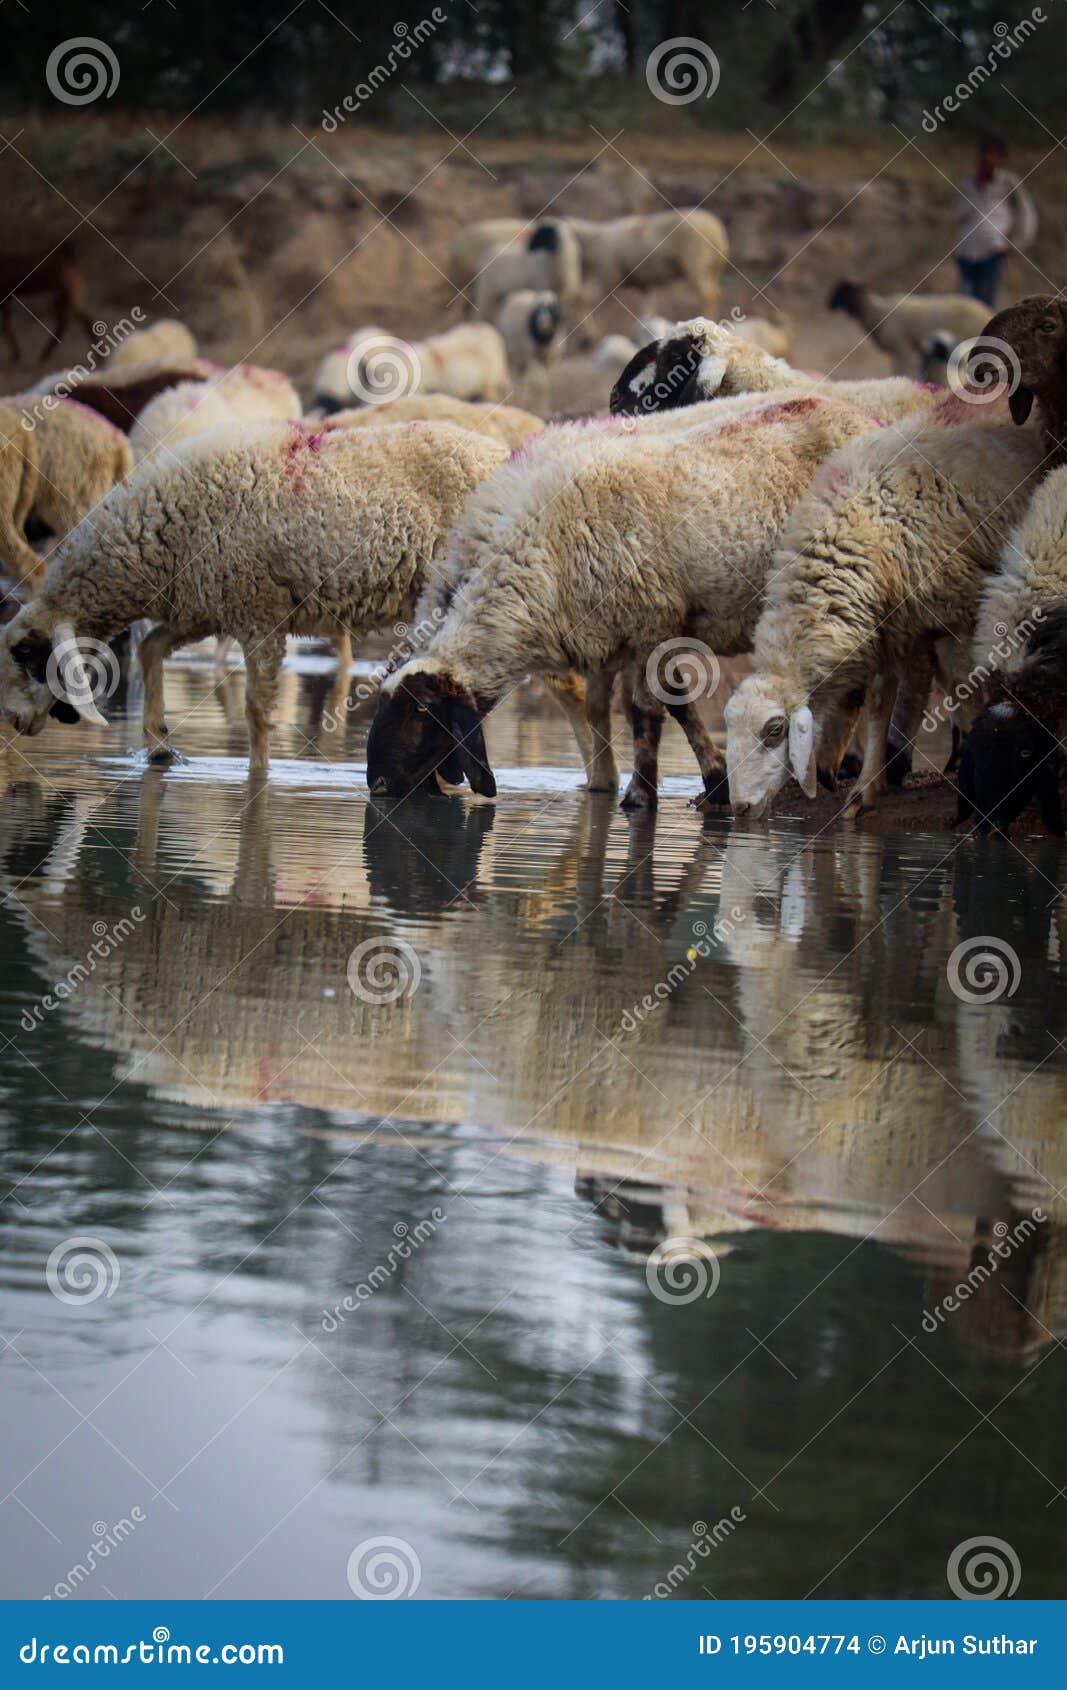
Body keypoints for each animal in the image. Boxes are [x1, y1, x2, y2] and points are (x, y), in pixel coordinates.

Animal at [0, 419, 509, 775]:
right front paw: (160, 745)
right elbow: (150, 648)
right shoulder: (203, 607)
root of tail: (501, 450)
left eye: (24, 652)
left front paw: (258, 775)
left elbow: (255, 710)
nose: (13, 721)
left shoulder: (257, 611)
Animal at [365, 392, 882, 807]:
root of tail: (861, 415)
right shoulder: (601, 633)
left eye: (422, 712)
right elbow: (603, 708)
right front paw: (611, 783)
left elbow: (653, 709)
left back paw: (837, 767)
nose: (378, 786)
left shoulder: (652, 621)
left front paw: (652, 791)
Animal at [568, 211, 728, 314]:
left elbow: (582, 300)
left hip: (697, 265)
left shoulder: (608, 280)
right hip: (713, 269)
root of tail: (715, 229)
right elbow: (647, 311)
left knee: (707, 296)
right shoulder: (647, 286)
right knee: (716, 294)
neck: (597, 240)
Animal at [723, 402, 1045, 821]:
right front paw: (865, 789)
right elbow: (878, 705)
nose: (740, 808)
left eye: (774, 731)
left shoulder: (956, 610)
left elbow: (965, 685)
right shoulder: (887, 625)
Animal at [827, 281, 990, 377]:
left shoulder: (901, 349)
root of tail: (986, 313)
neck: (878, 312)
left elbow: (900, 372)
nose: (828, 306)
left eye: (841, 293)